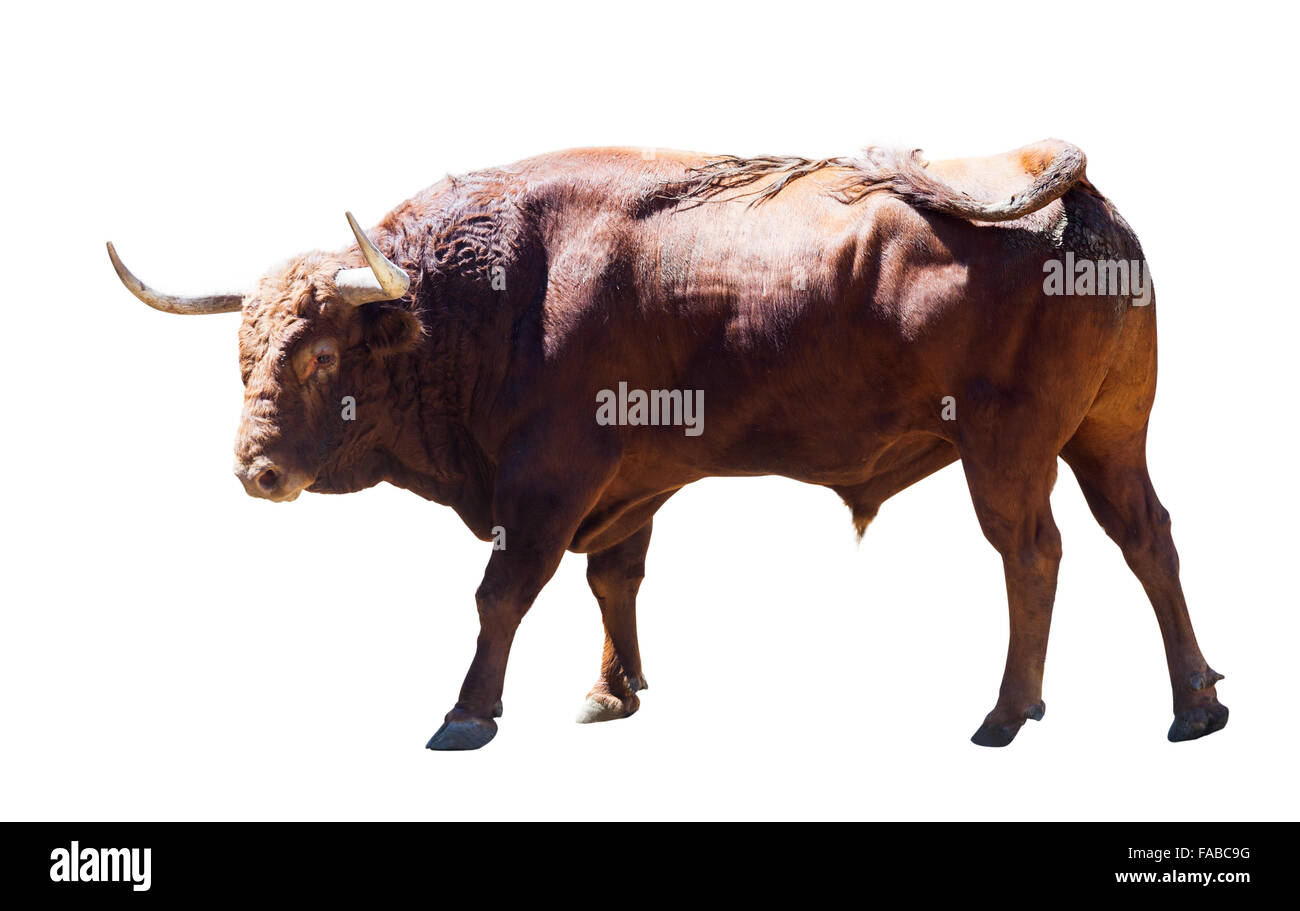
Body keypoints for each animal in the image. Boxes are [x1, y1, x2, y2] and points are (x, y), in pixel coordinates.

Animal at [107, 139, 1227, 750]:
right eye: (241, 355)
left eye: (323, 352)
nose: (256, 470)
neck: (494, 294)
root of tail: (1067, 193)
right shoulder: (628, 486)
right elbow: (614, 579)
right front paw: (613, 690)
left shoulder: (548, 480)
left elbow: (503, 591)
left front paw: (468, 713)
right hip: (1109, 434)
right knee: (1148, 539)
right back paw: (1194, 703)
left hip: (1008, 451)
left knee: (1032, 555)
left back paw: (1006, 710)